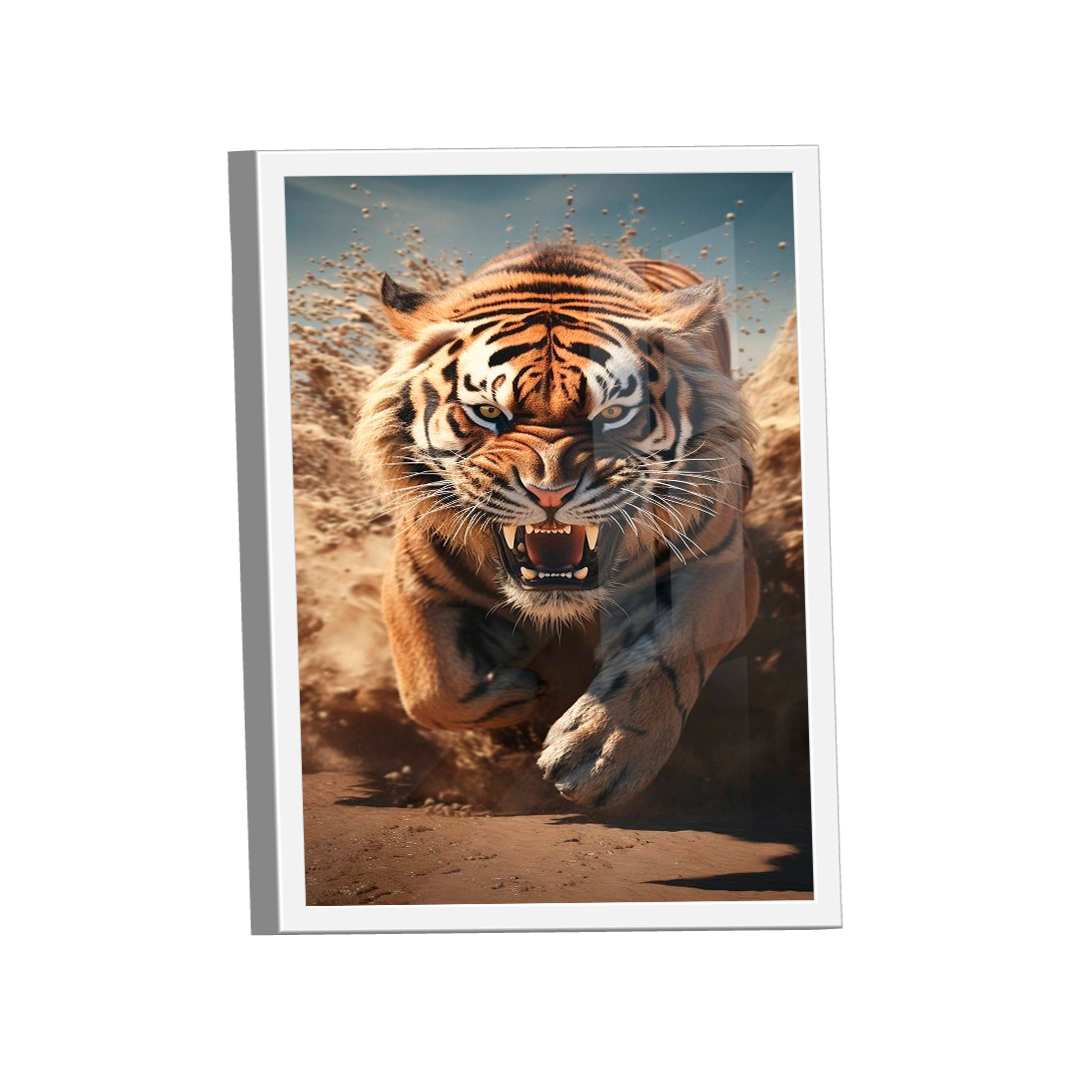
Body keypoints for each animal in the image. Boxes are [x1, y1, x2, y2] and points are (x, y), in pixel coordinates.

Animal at [355, 243, 759, 808]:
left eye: (612, 413)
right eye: (487, 413)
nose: (550, 492)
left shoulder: (720, 565)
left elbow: (672, 650)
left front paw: (607, 749)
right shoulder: (411, 581)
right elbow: (431, 688)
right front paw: (517, 698)